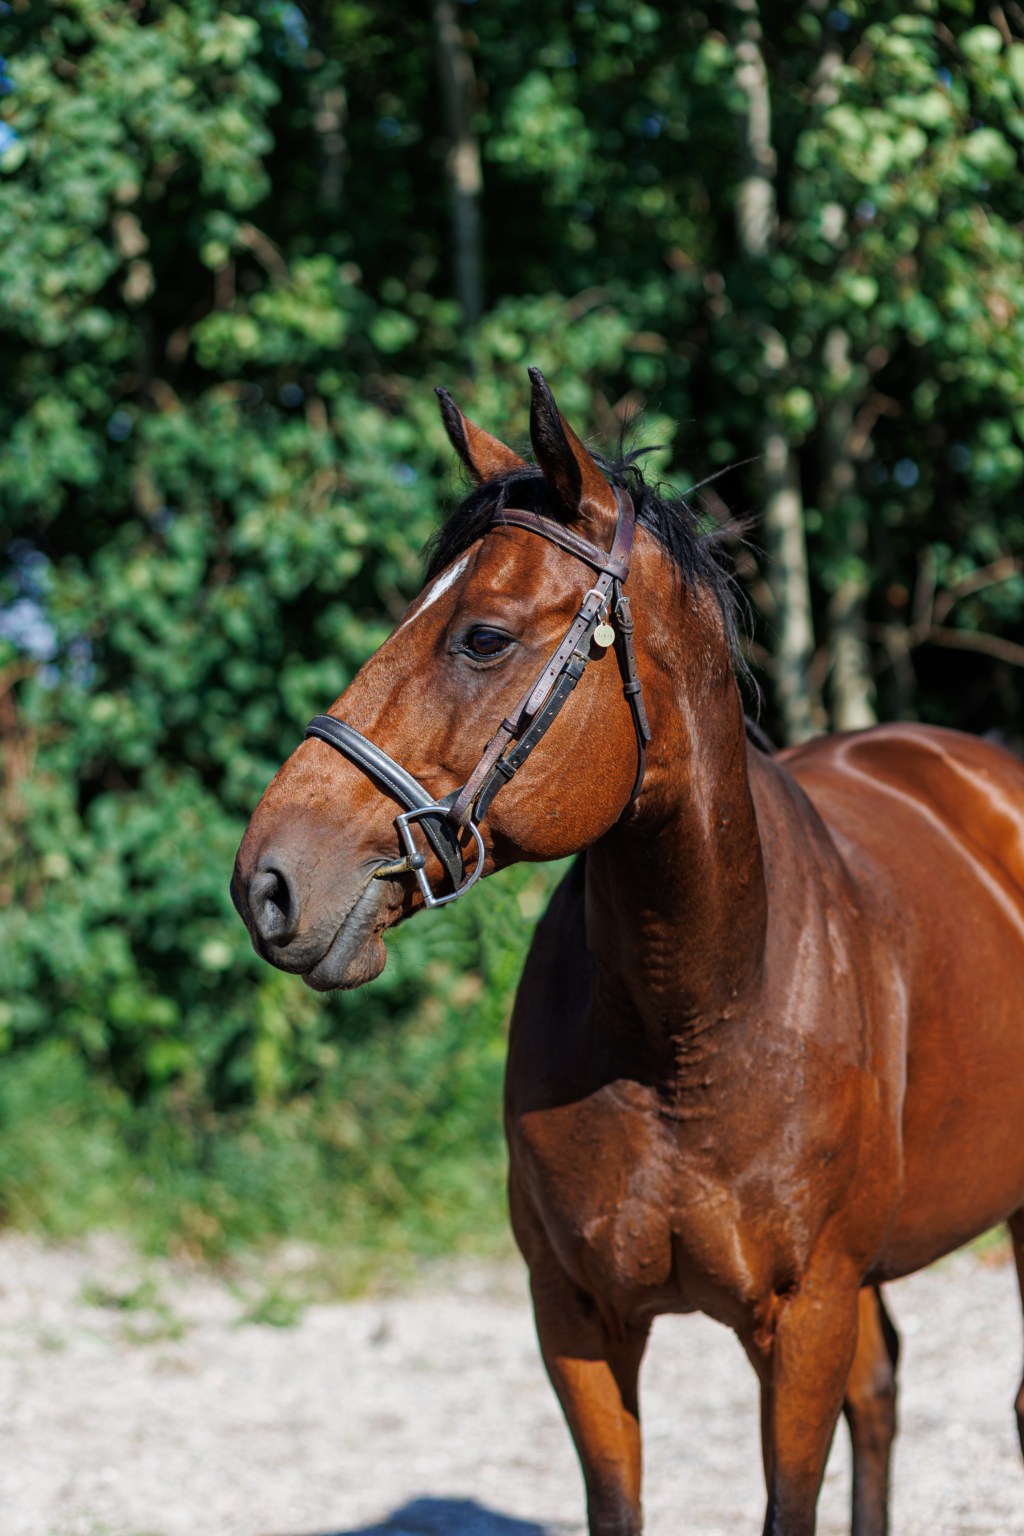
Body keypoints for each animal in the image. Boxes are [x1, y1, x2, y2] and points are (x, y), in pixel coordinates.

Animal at [231, 367, 1024, 1536]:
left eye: (482, 637)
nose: (268, 881)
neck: (693, 1024)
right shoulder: (576, 1317)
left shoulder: (805, 1315)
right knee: (881, 1394)